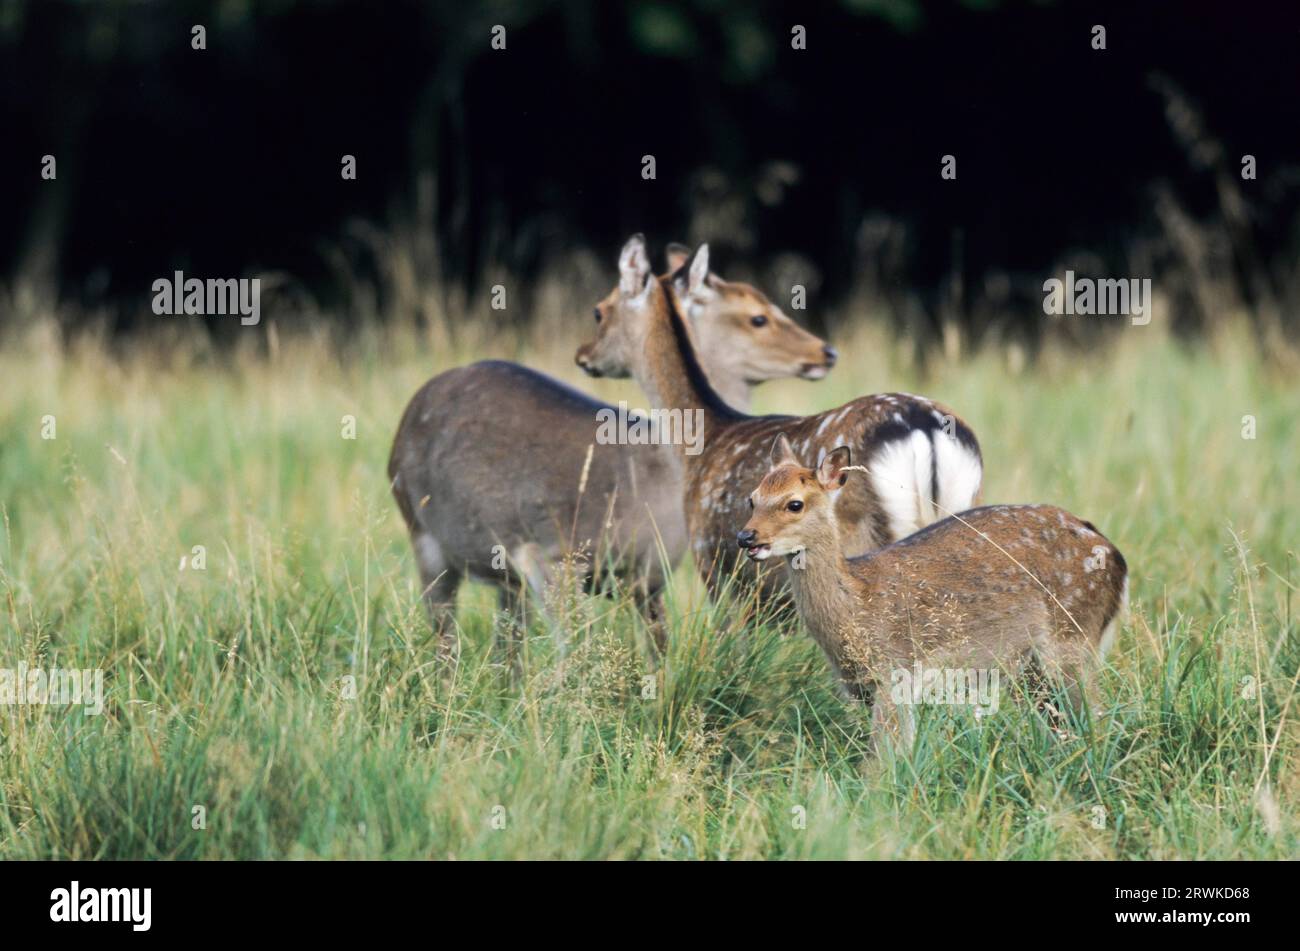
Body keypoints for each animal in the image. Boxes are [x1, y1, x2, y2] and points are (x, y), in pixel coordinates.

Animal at [388, 244, 836, 661]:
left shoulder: (650, 577)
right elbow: (577, 655)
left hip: (502, 577)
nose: (827, 352)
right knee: (447, 638)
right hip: (422, 536)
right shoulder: (554, 555)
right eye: (757, 317)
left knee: (505, 649)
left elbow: (658, 652)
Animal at [738, 435, 1128, 745]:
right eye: (753, 499)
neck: (858, 605)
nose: (746, 537)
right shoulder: (859, 688)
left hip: (1073, 638)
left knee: (1097, 718)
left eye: (794, 503)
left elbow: (883, 761)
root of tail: (1116, 559)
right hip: (1032, 668)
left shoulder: (896, 673)